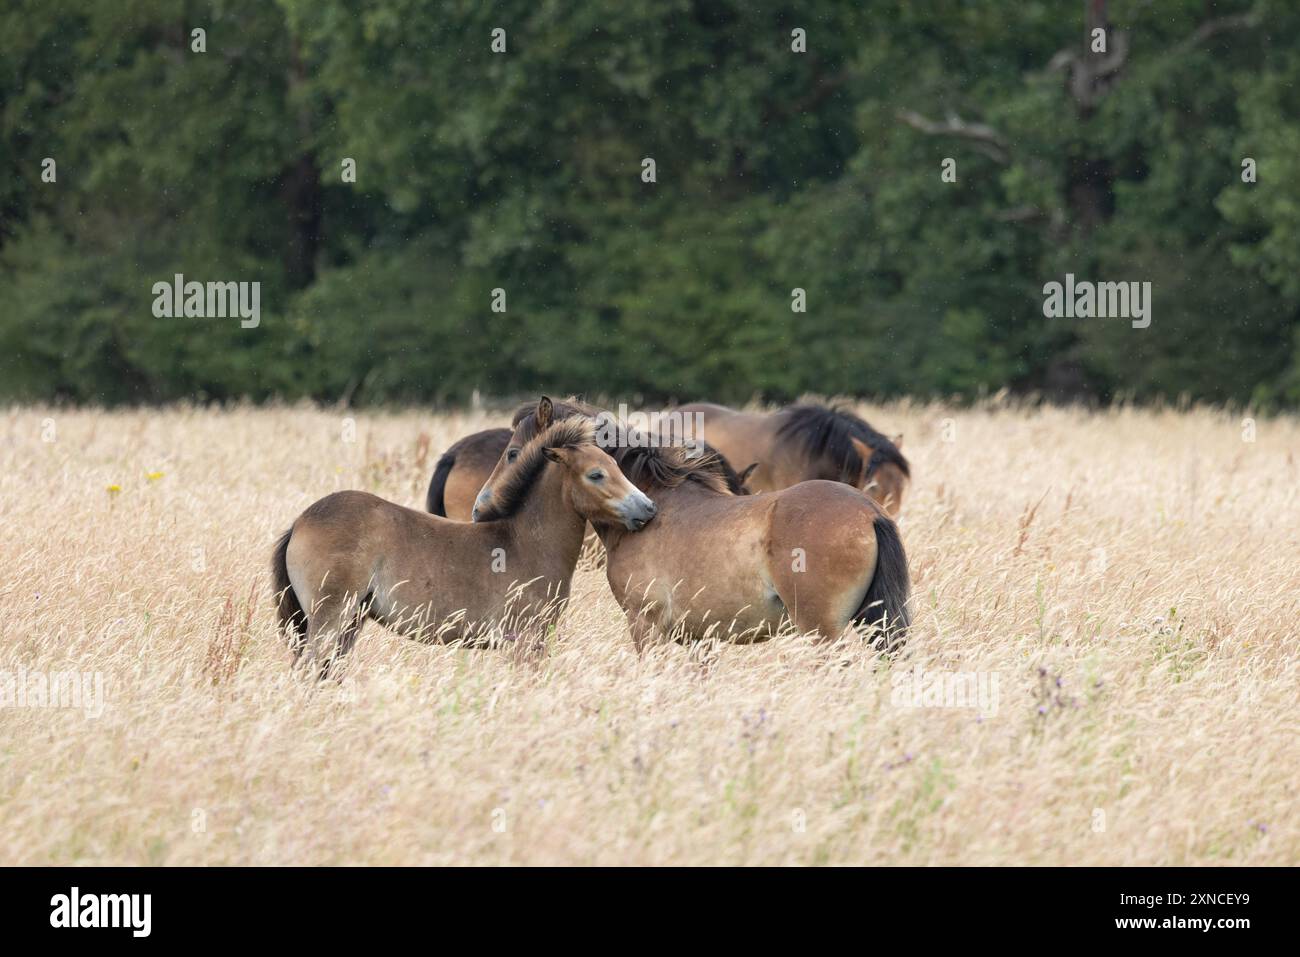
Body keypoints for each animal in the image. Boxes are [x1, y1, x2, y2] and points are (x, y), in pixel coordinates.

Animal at [272, 415, 656, 678]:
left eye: (616, 466)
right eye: (596, 474)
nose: (648, 509)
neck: (525, 543)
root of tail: (300, 521)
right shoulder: (525, 639)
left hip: (349, 622)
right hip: (330, 618)